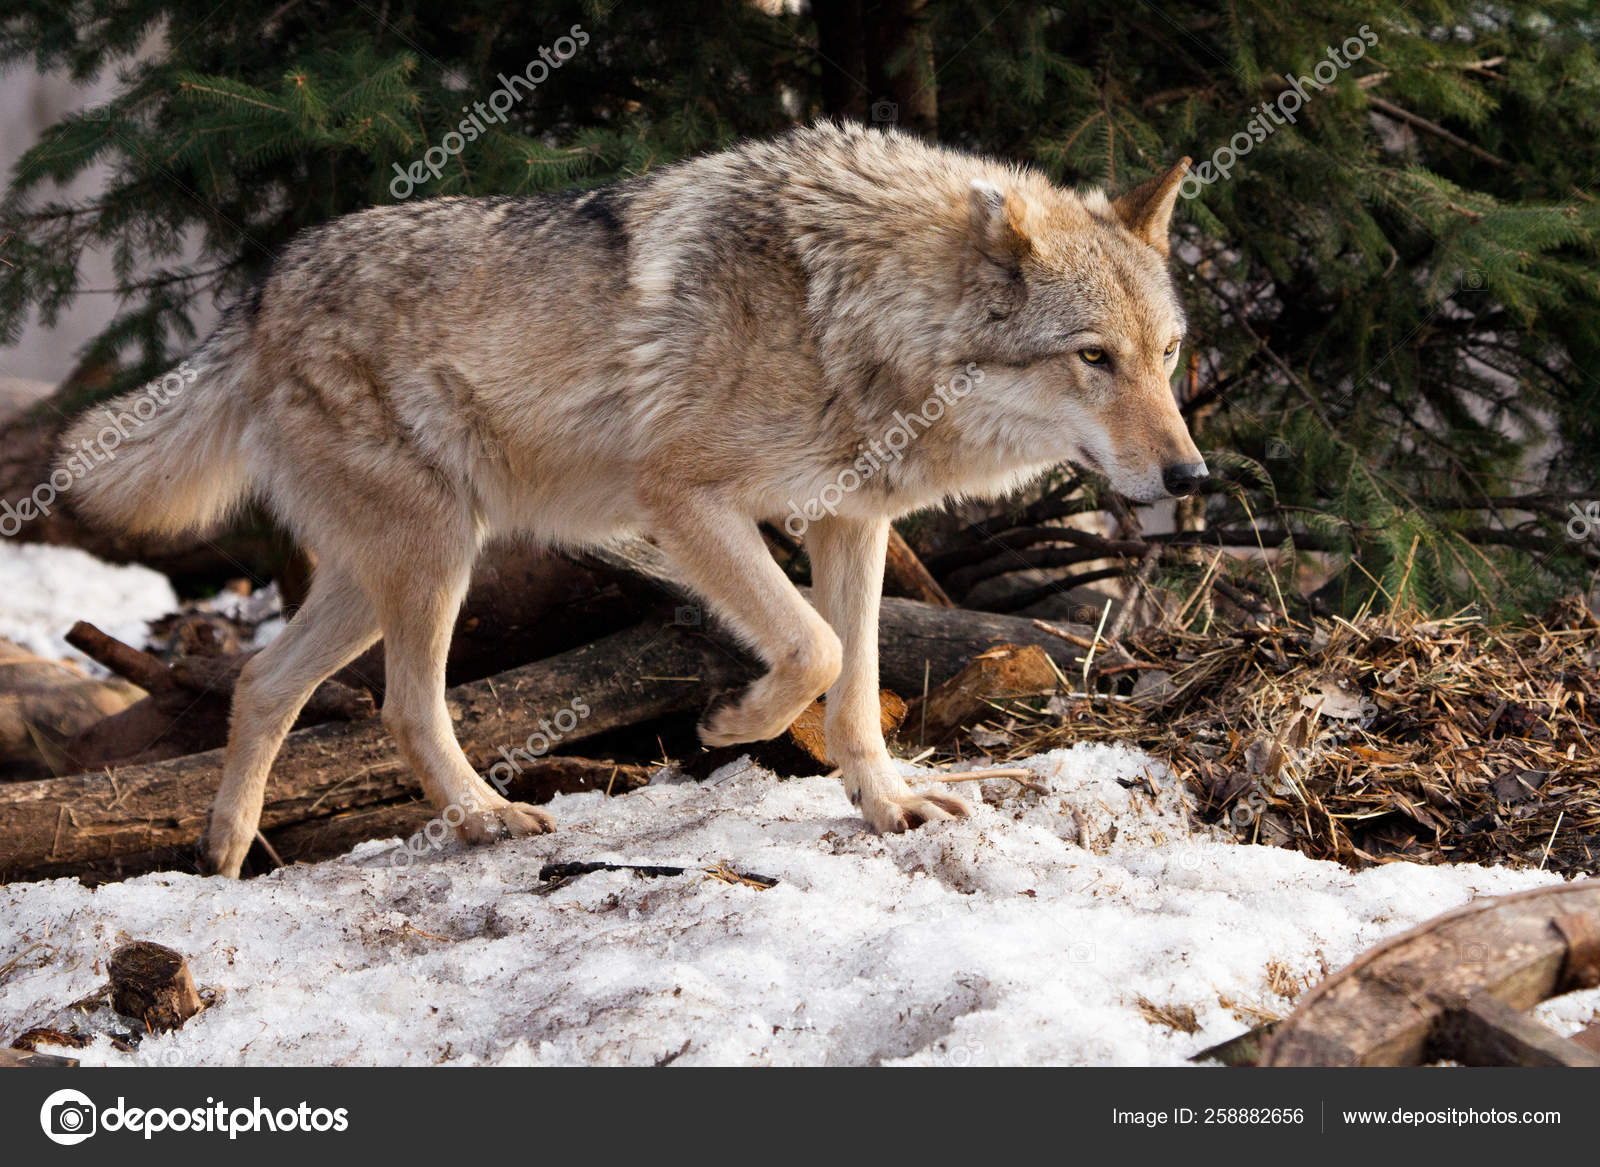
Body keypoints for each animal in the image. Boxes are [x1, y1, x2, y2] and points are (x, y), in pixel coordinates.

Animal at [62, 122, 1206, 877]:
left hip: (382, 573)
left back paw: (224, 855)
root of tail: (259, 291)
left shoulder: (851, 521)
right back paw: (484, 819)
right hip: (436, 560)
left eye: (1166, 353)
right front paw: (732, 723)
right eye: (1093, 358)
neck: (848, 312)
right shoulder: (683, 503)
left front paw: (886, 803)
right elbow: (814, 649)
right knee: (403, 705)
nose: (1193, 477)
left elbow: (857, 681)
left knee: (262, 684)